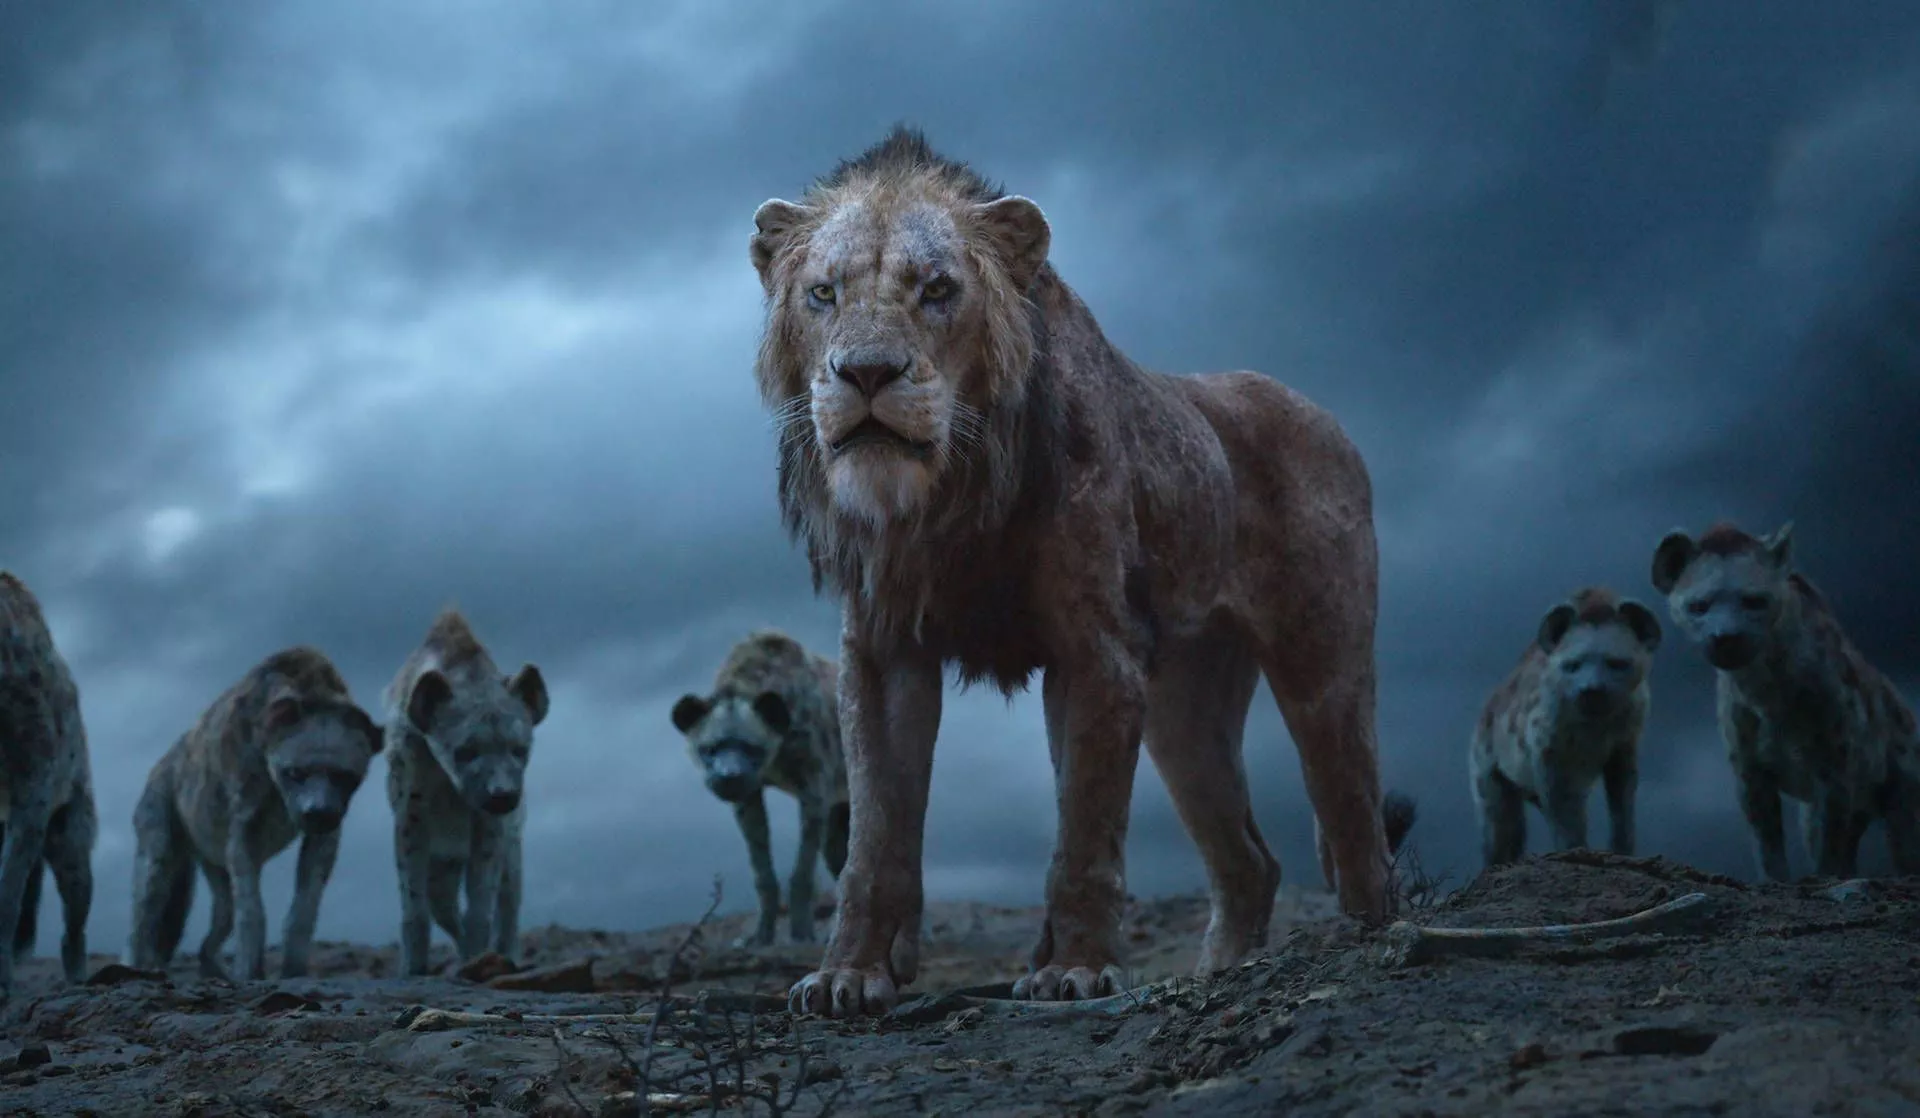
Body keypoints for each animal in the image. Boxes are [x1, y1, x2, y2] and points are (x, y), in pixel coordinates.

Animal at [748, 126, 1410, 1017]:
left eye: (937, 289)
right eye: (823, 293)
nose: (867, 373)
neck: (950, 494)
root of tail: (1327, 418)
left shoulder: (1096, 648)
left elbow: (1086, 827)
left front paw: (1075, 970)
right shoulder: (884, 654)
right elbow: (875, 835)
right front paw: (850, 974)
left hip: (1322, 667)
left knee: (1354, 817)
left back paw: (1370, 942)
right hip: (1184, 712)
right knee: (1250, 860)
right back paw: (1218, 972)